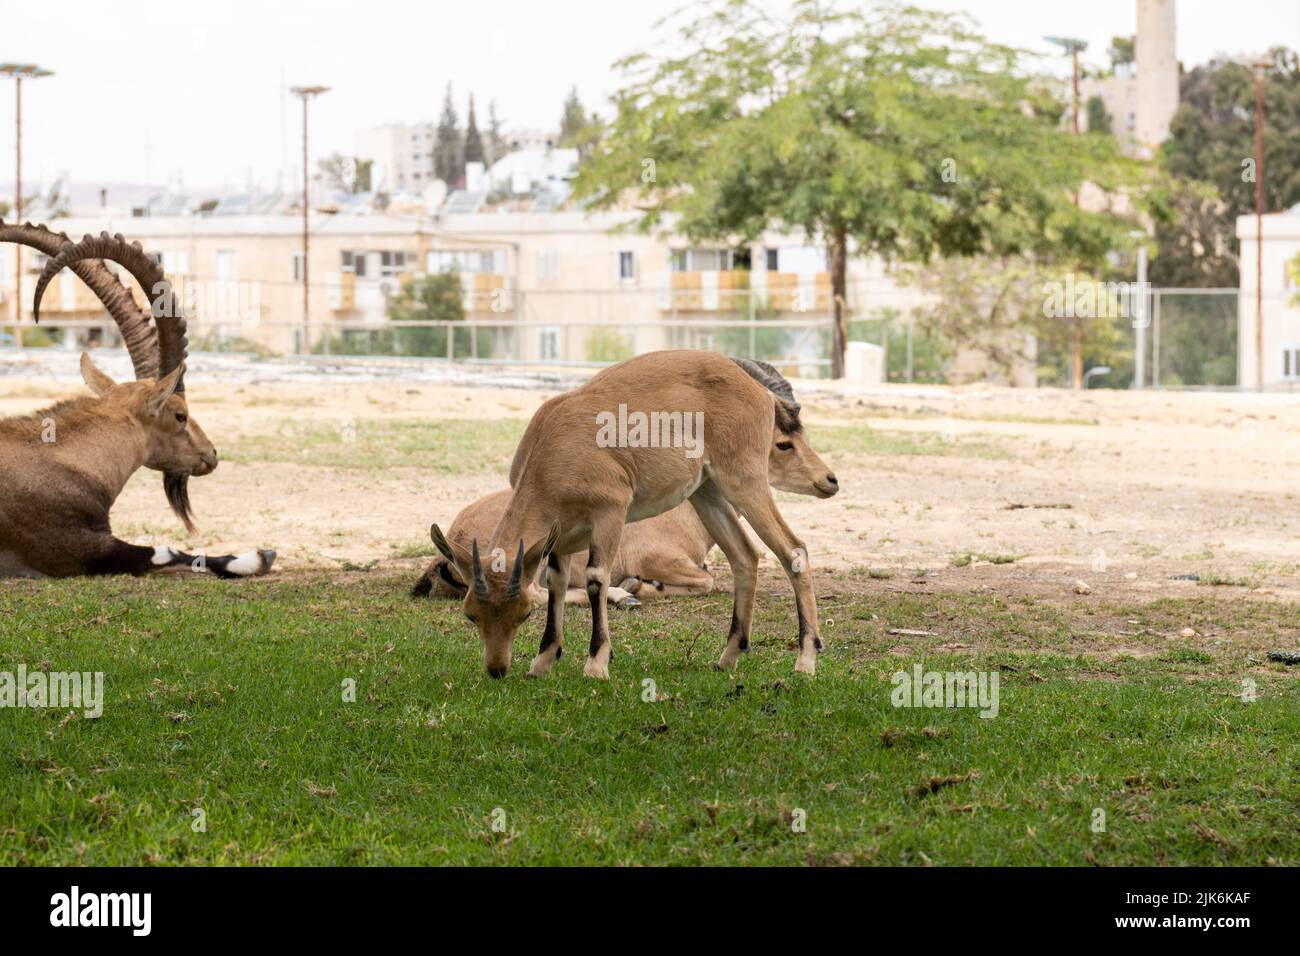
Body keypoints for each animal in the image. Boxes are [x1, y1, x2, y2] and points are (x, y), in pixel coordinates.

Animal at [0, 224, 274, 579]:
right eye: (180, 415)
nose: (211, 454)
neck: (65, 457)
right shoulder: (78, 550)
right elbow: (165, 552)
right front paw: (257, 557)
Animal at [430, 350, 838, 678]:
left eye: (523, 614)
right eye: (471, 614)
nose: (496, 669)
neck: (554, 448)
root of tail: (758, 394)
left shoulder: (610, 512)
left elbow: (595, 579)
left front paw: (596, 663)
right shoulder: (561, 535)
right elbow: (557, 584)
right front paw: (543, 660)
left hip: (745, 481)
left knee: (793, 549)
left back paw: (805, 661)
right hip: (708, 491)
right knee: (745, 556)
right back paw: (727, 657)